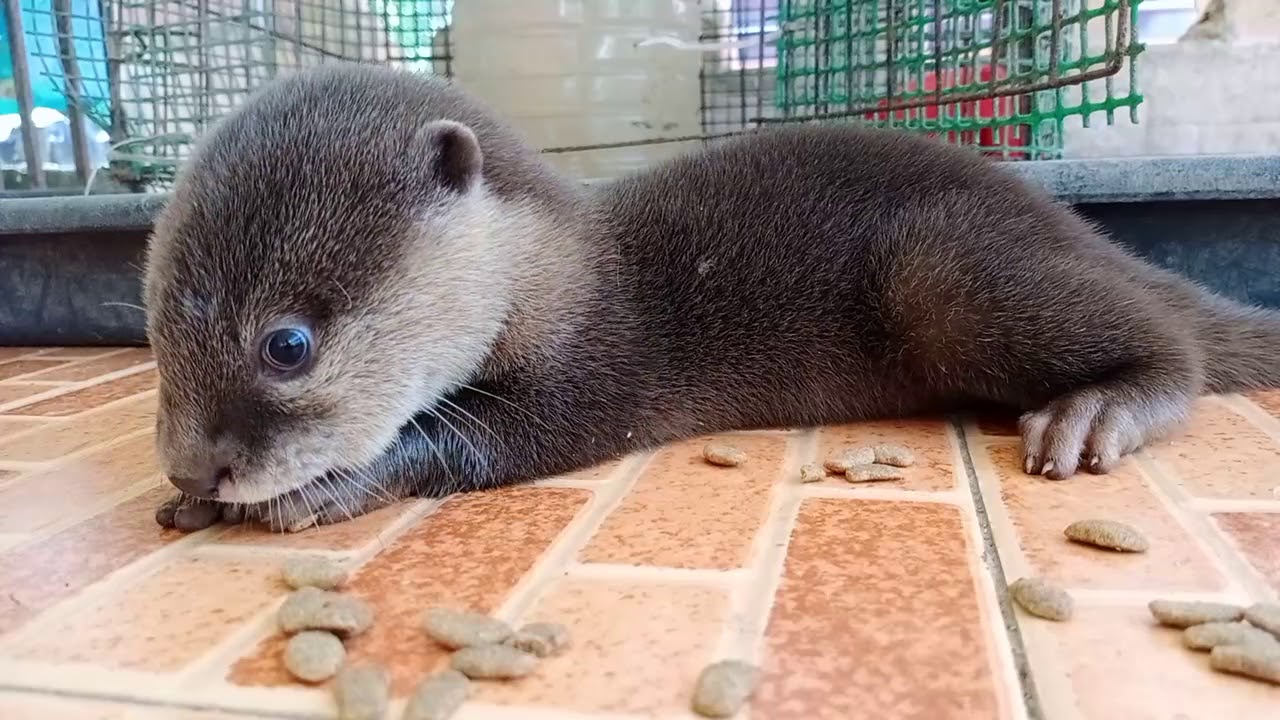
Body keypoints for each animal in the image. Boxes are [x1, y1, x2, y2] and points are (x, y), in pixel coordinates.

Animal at [144, 62, 1280, 532]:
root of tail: (1066, 222)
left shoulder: (598, 368)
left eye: (287, 344)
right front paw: (193, 499)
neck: (557, 276)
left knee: (1171, 344)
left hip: (945, 270)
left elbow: (496, 440)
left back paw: (1099, 409)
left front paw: (326, 485)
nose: (199, 461)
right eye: (154, 335)